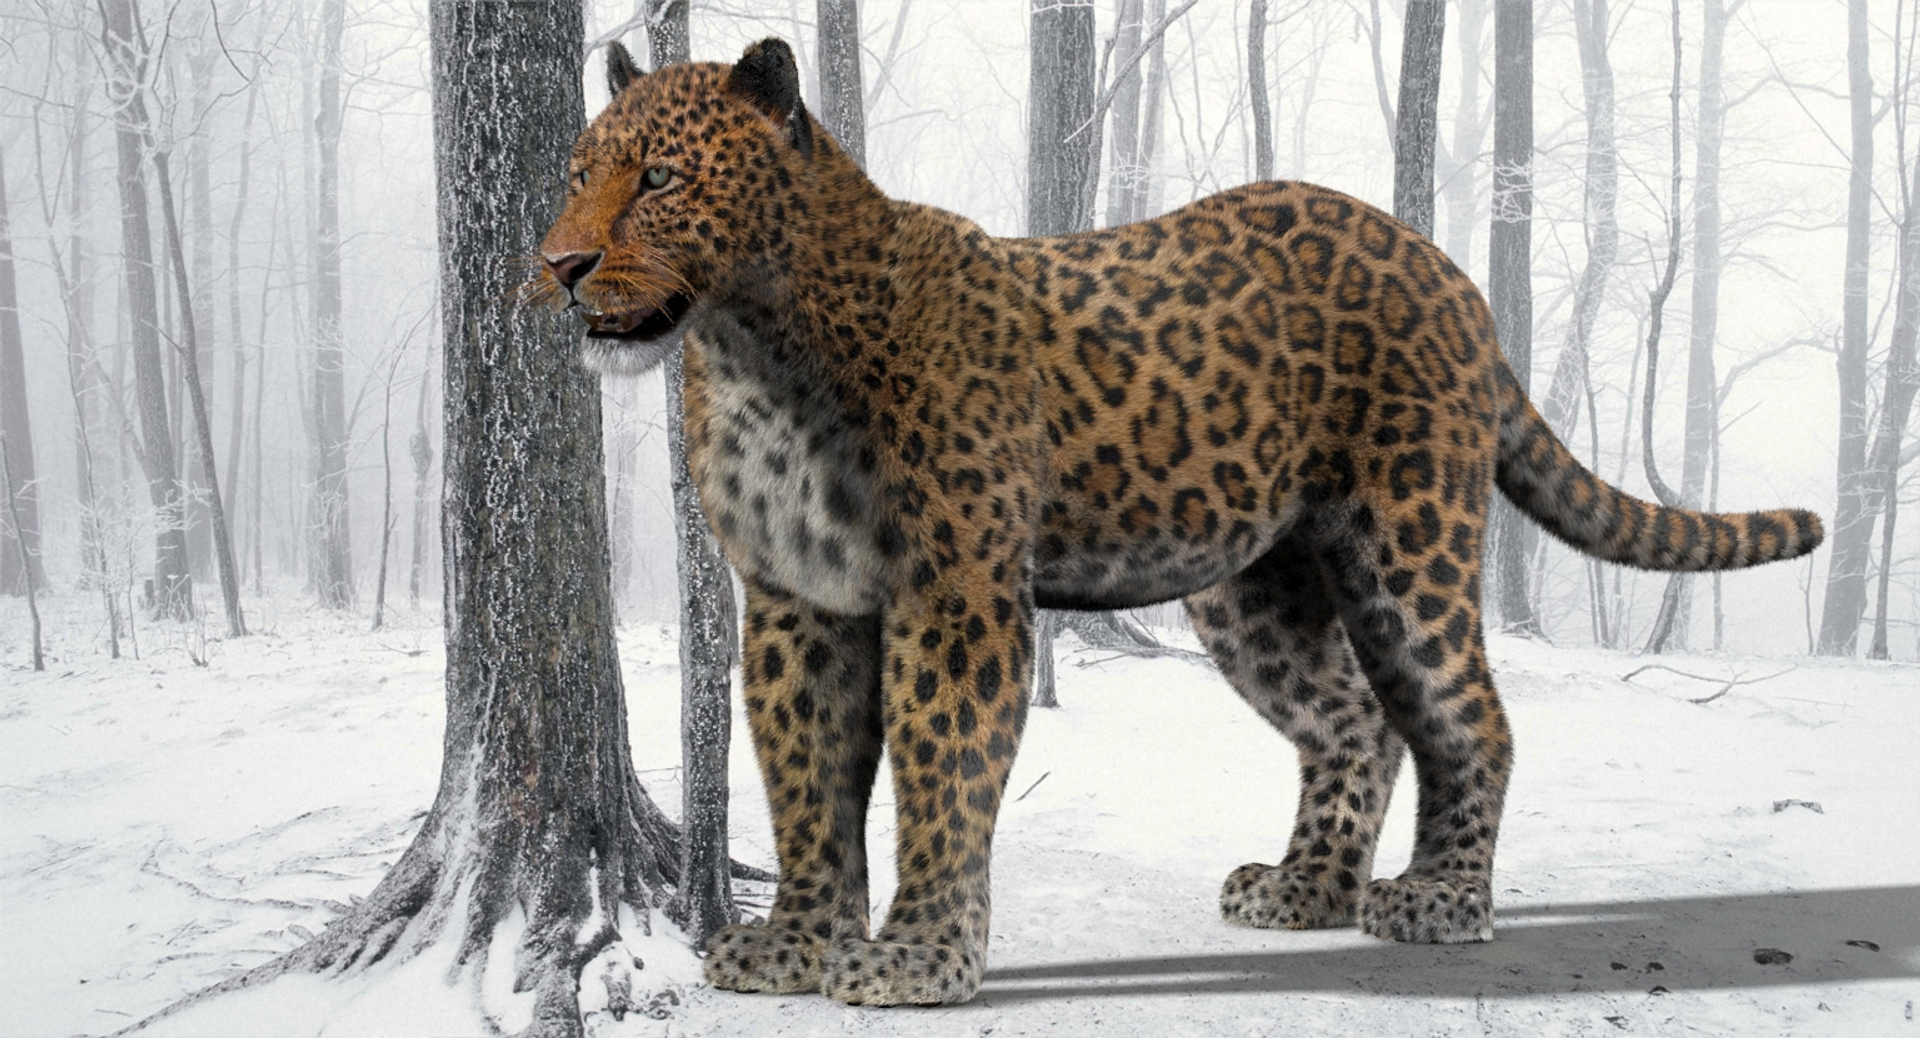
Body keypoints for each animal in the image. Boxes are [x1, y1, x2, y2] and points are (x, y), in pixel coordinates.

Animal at [535, 38, 1824, 1007]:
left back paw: (1441, 898)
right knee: (1356, 721)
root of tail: (1451, 273)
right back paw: (1305, 891)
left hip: (1406, 539)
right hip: (1252, 590)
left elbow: (941, 767)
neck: (753, 343)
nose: (559, 265)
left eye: (659, 180)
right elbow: (805, 774)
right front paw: (797, 944)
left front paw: (916, 959)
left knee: (1468, 715)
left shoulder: (956, 592)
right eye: (580, 170)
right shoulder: (798, 600)